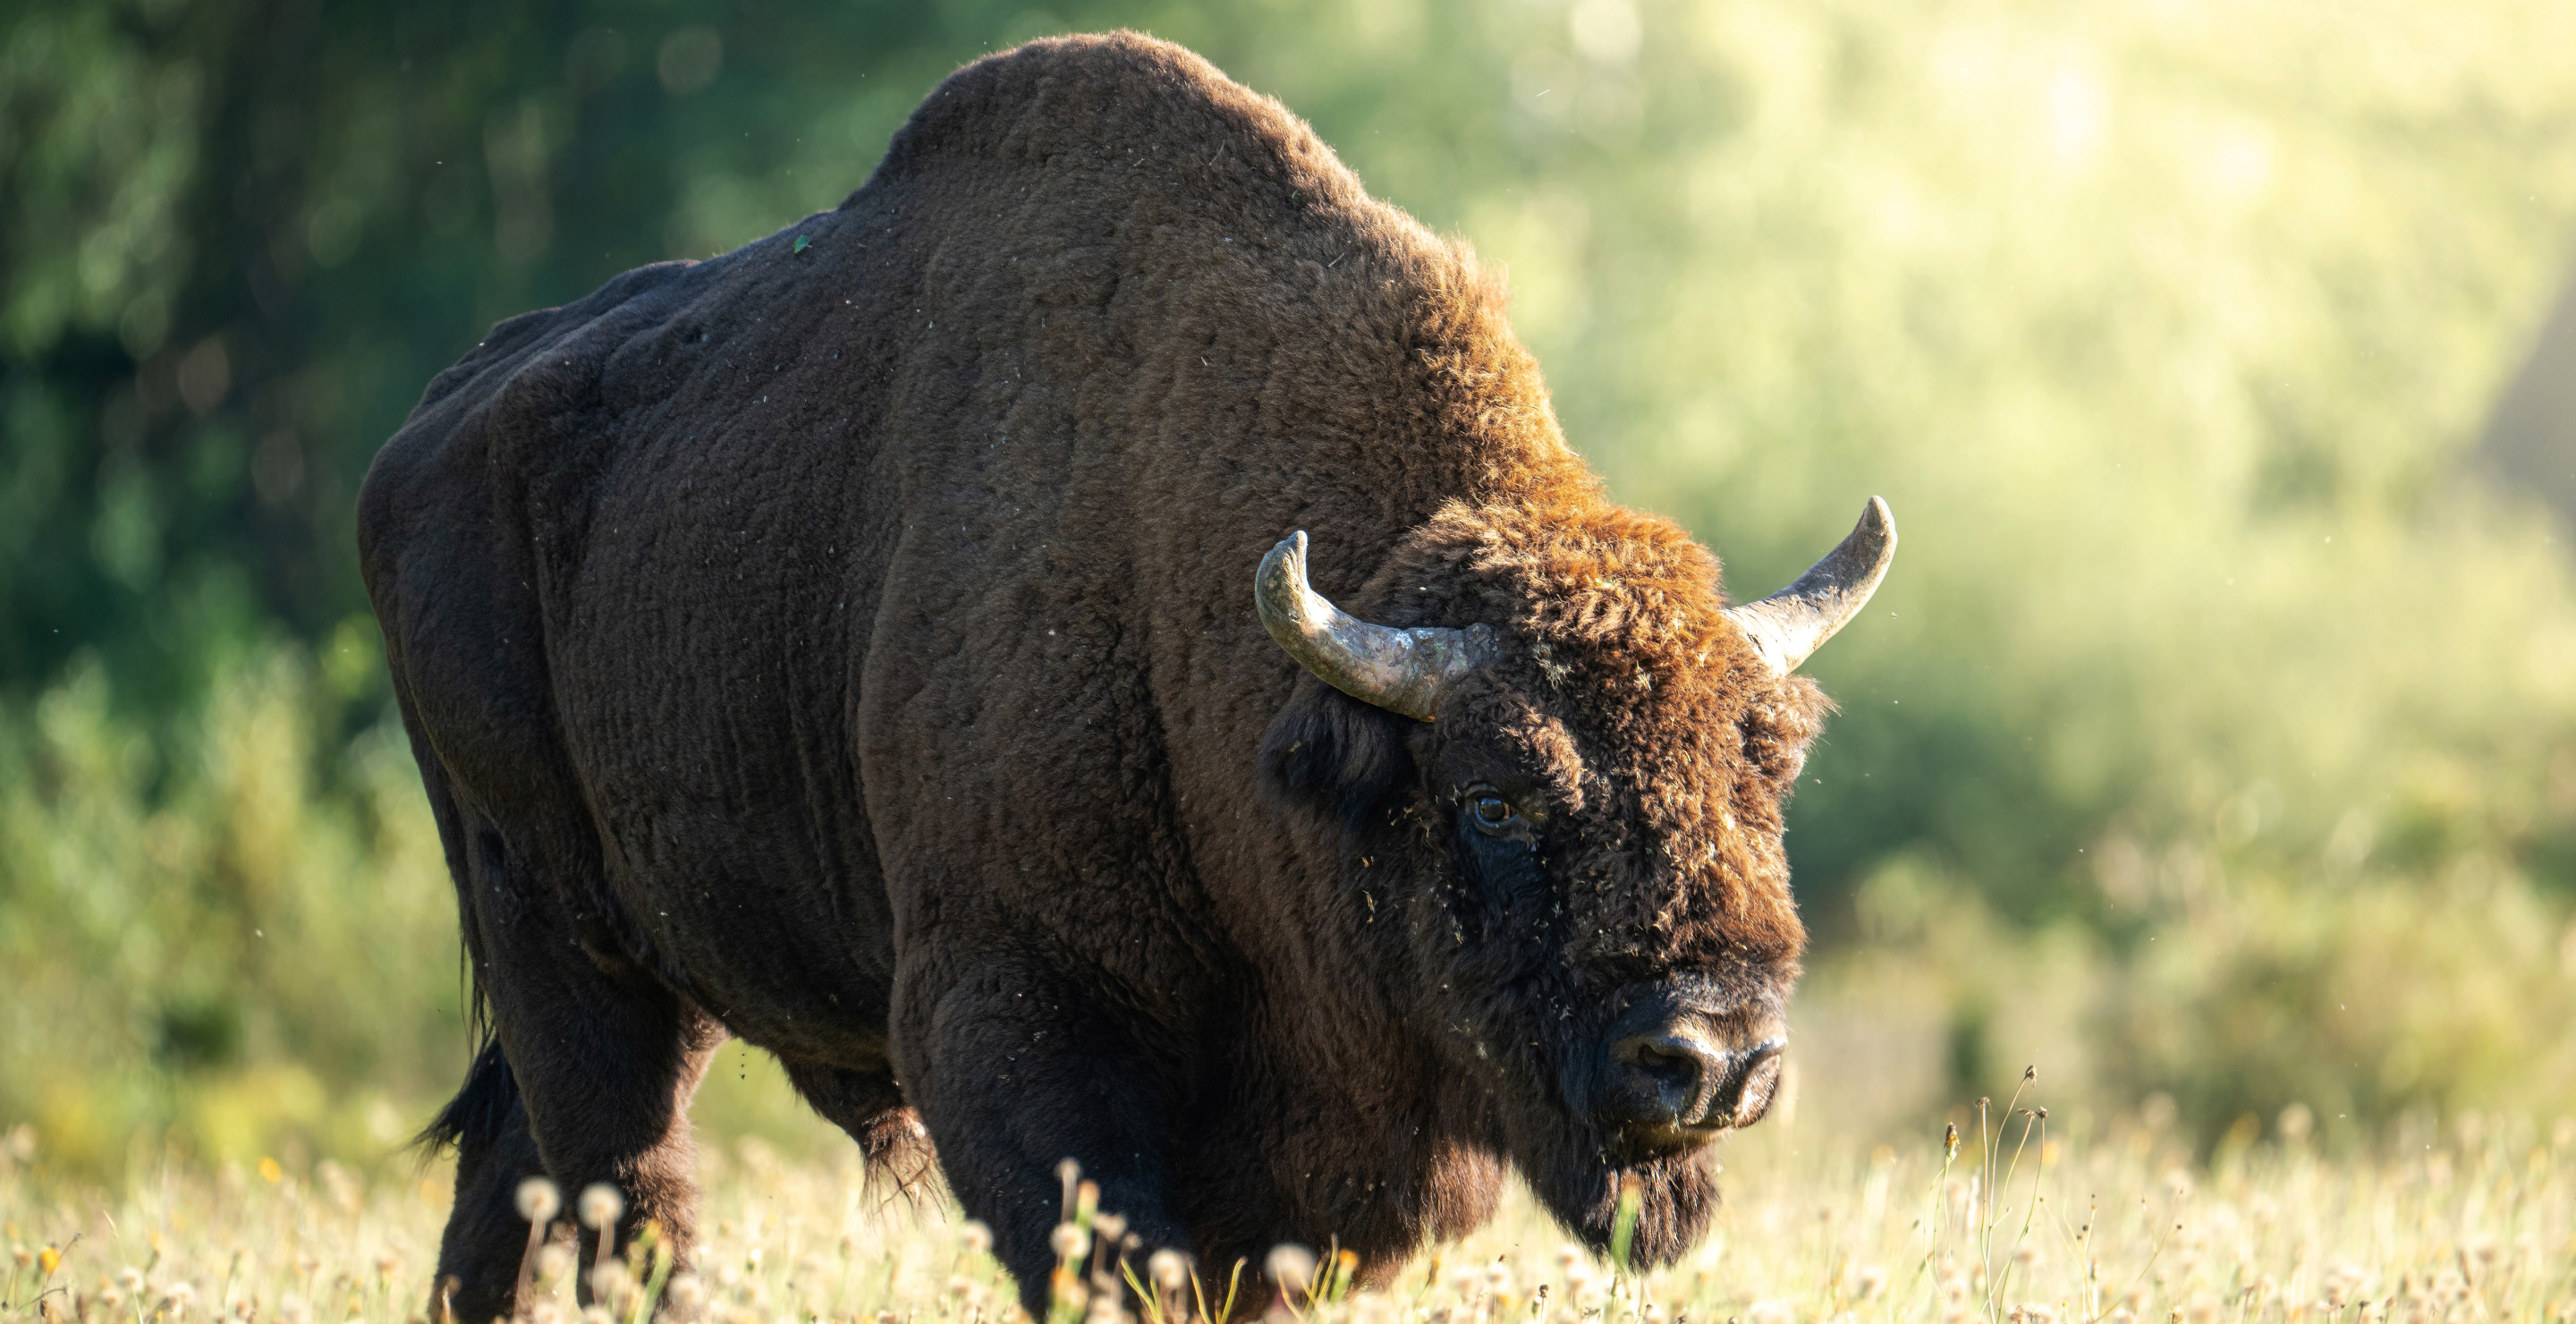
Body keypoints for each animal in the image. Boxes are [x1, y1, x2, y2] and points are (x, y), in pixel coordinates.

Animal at [360, 31, 1894, 1322]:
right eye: (1498, 795)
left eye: (1768, 768)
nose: (1713, 1059)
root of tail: (422, 434)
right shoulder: (1017, 1028)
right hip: (565, 944)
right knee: (626, 1197)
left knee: (516, 1188)